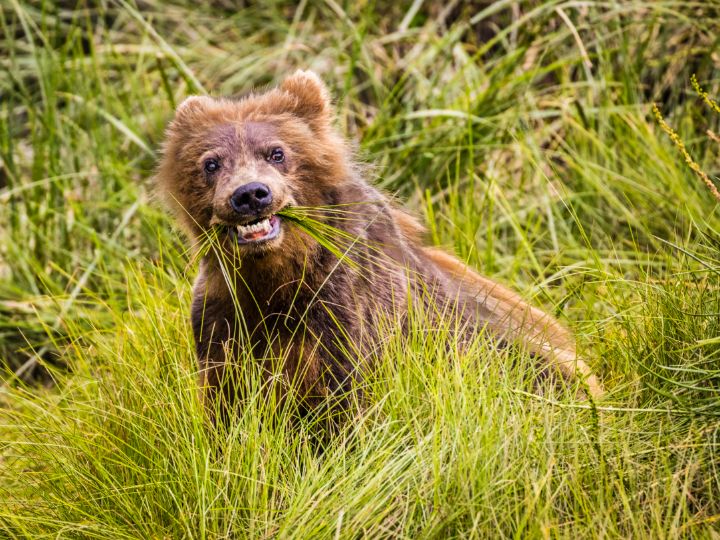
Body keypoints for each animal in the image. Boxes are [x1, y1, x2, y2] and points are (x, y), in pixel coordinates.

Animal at [156, 70, 603, 421]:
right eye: (211, 162)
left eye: (277, 152)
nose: (250, 194)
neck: (276, 275)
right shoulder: (224, 314)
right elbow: (227, 402)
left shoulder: (344, 308)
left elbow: (344, 400)